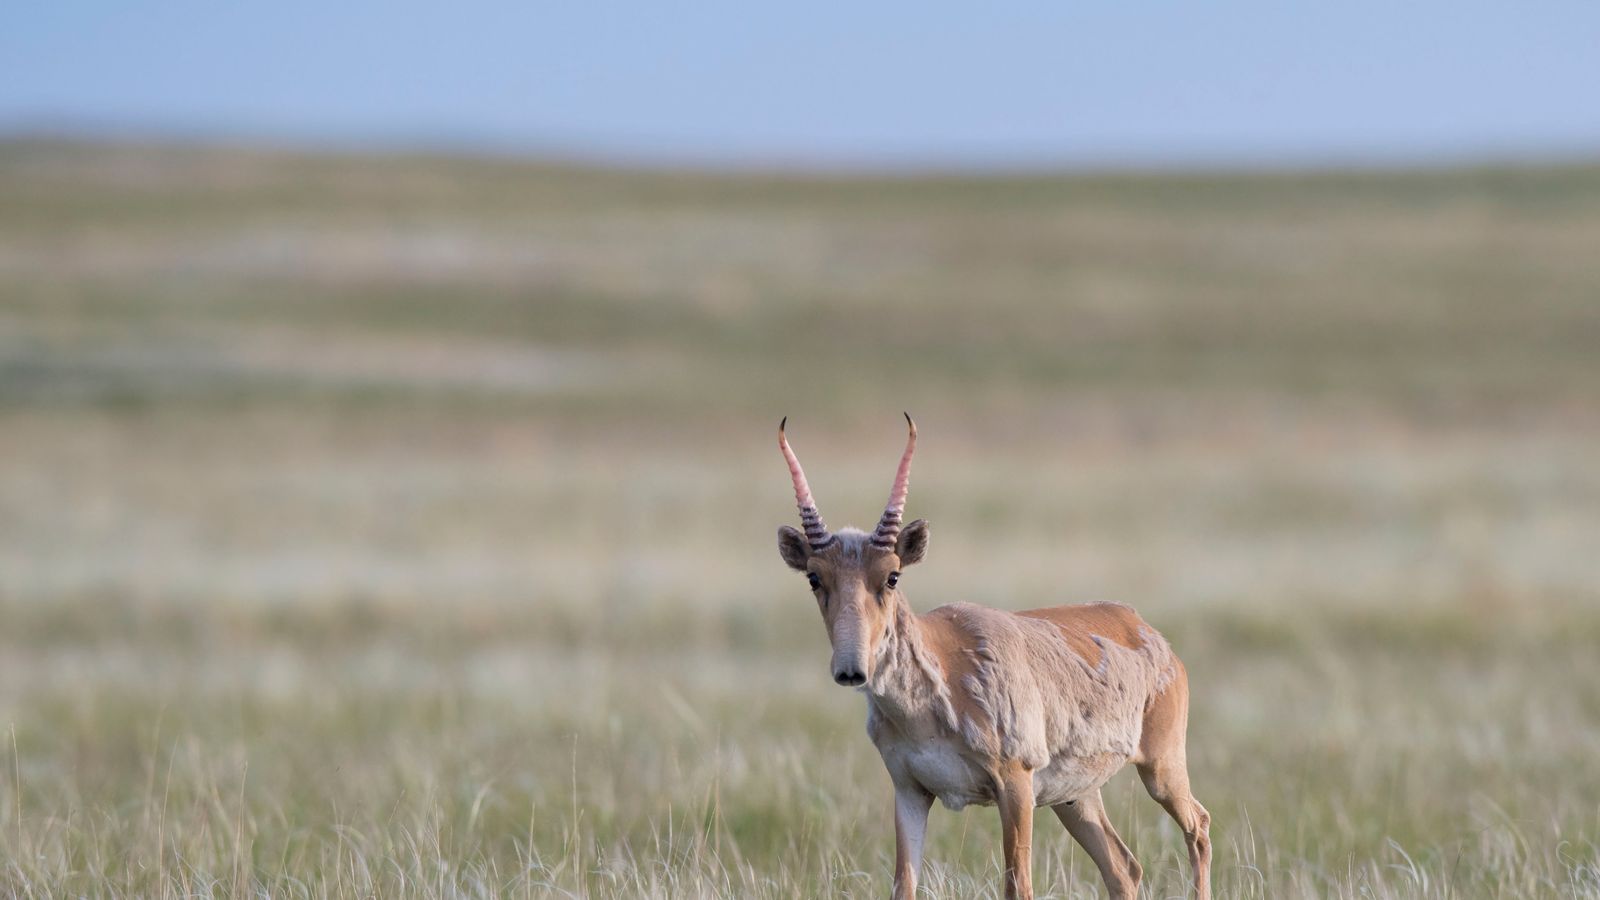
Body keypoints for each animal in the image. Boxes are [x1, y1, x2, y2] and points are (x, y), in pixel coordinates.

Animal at [775, 416, 1211, 900]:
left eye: (892, 575)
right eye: (814, 577)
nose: (852, 670)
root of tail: (1143, 627)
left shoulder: (1015, 784)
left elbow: (1017, 885)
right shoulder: (909, 790)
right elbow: (904, 885)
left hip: (1161, 768)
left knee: (1198, 826)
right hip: (1076, 798)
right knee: (1124, 867)